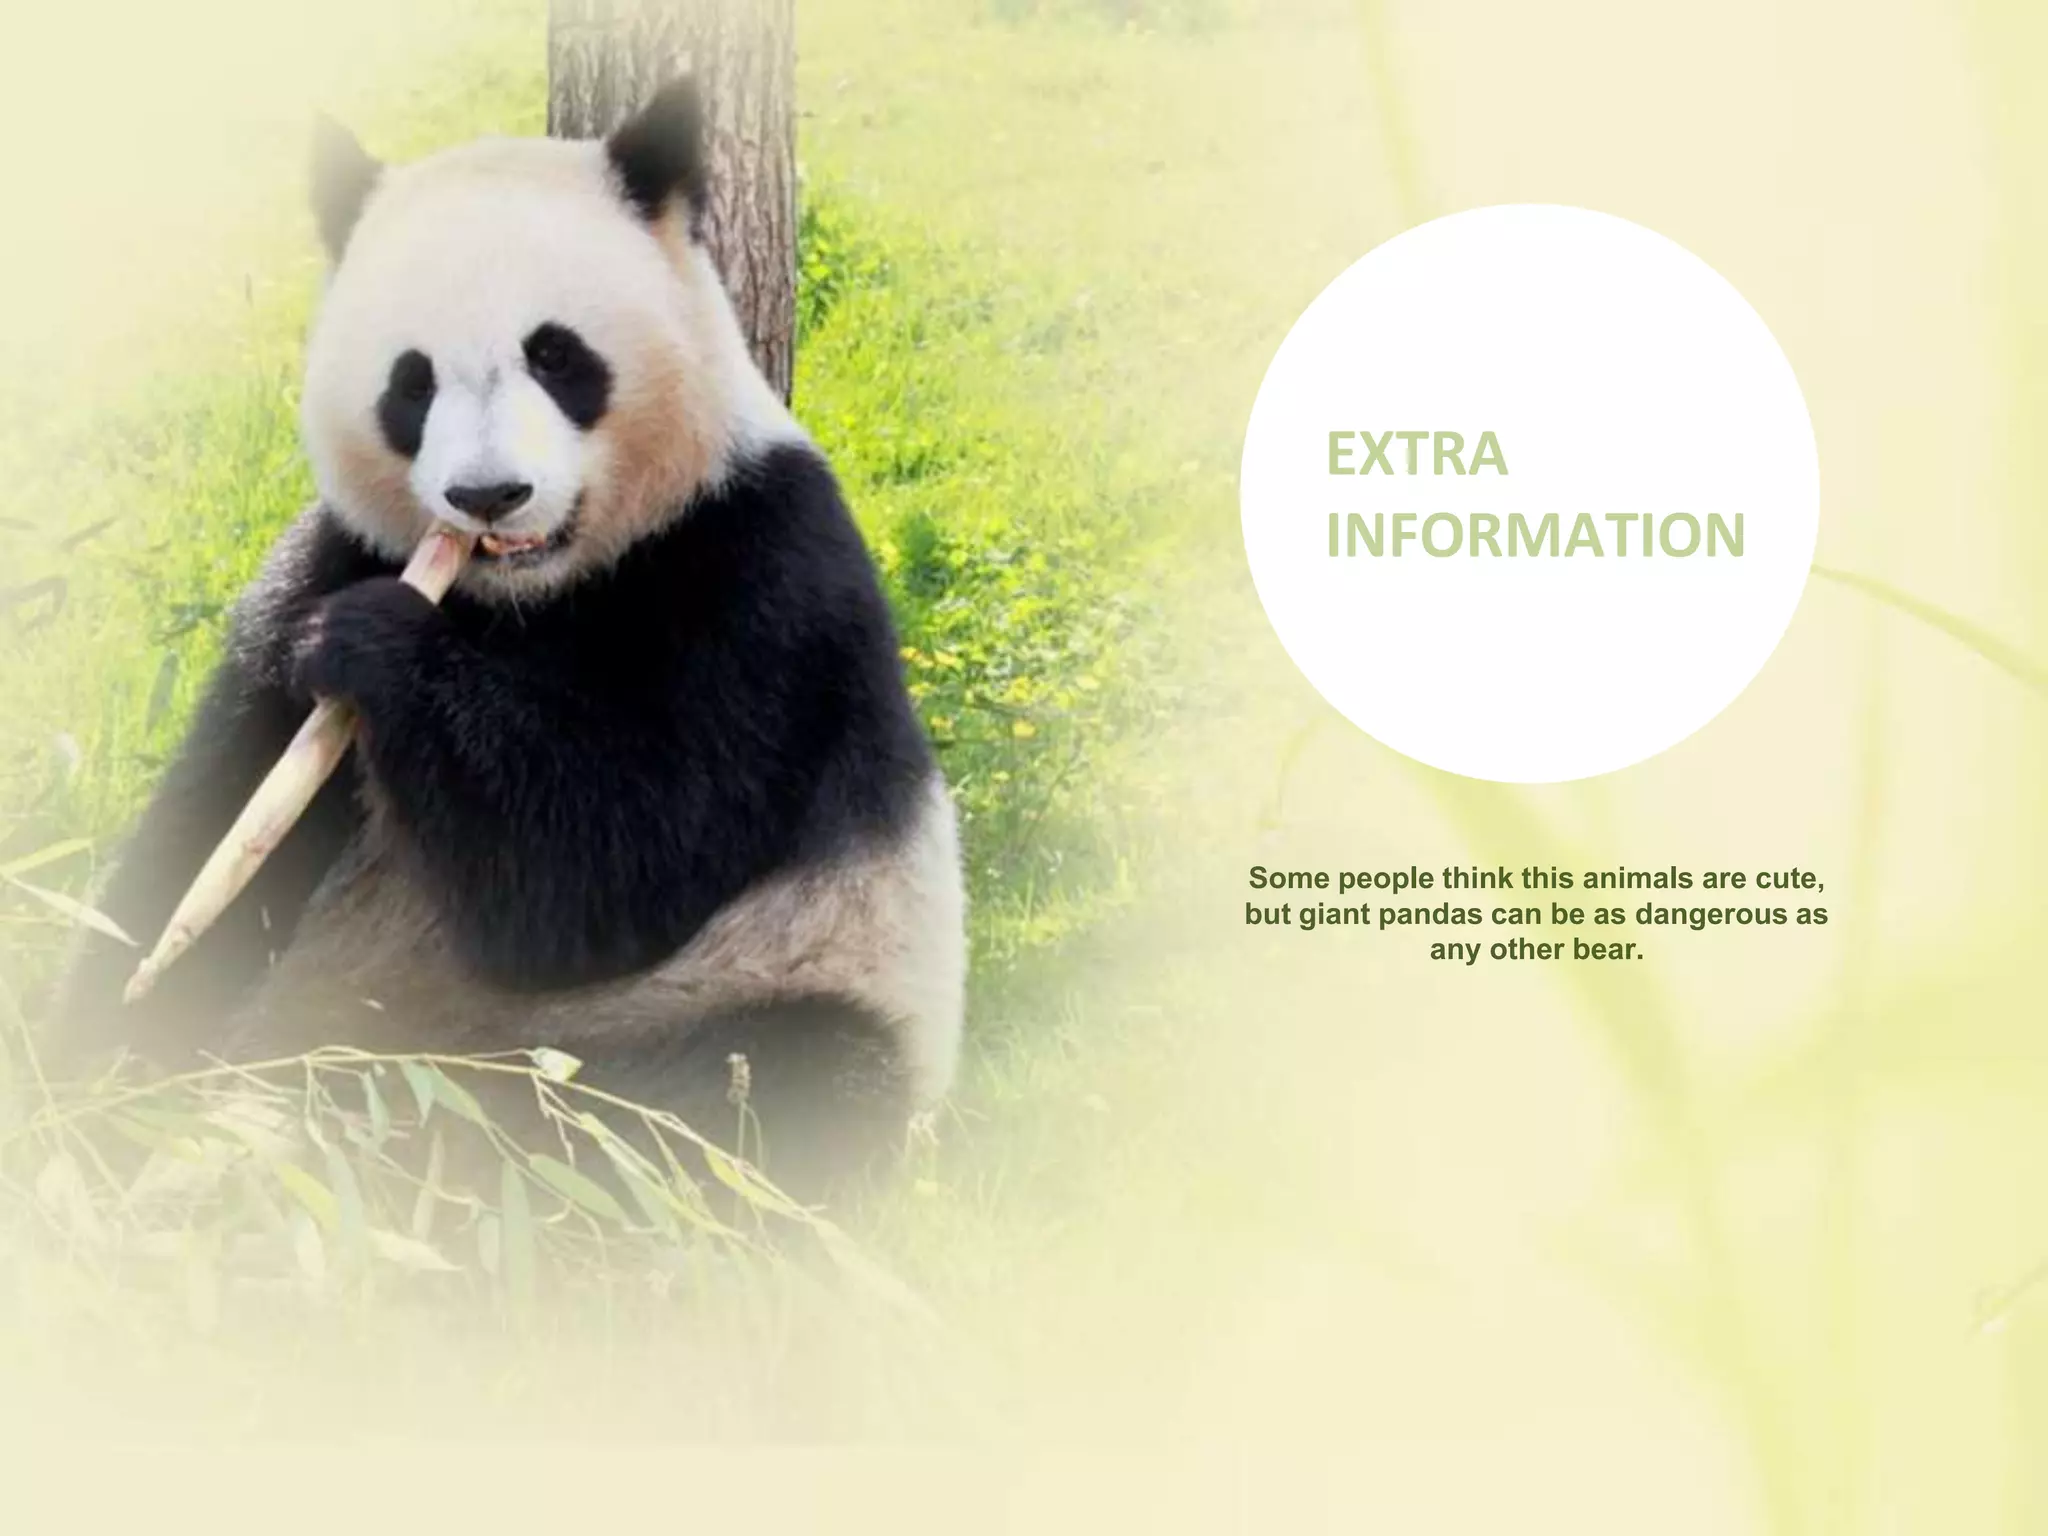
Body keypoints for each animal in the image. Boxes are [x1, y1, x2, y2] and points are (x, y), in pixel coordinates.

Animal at [54, 78, 966, 1201]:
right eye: (411, 382)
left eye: (558, 356)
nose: (488, 494)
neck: (525, 595)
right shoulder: (336, 549)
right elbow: (215, 828)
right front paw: (96, 1067)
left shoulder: (758, 571)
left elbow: (611, 868)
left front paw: (375, 646)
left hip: (777, 985)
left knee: (735, 1101)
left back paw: (371, 1140)